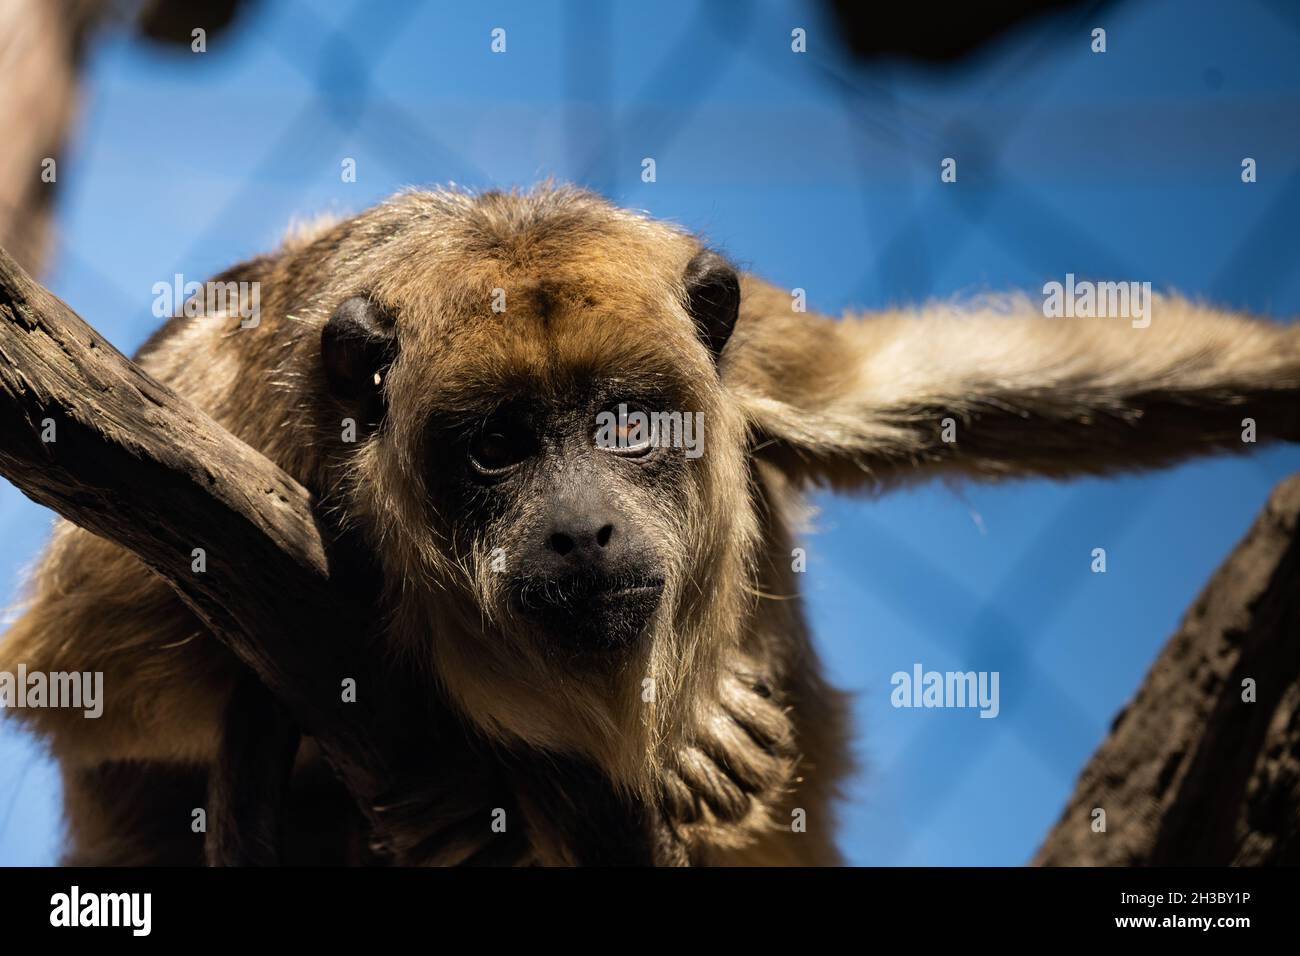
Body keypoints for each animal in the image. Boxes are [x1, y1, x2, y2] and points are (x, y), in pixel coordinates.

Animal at [3, 183, 1300, 866]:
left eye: (626, 424)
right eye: (496, 446)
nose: (582, 531)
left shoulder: (739, 334)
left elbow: (928, 378)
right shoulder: (249, 421)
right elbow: (73, 677)